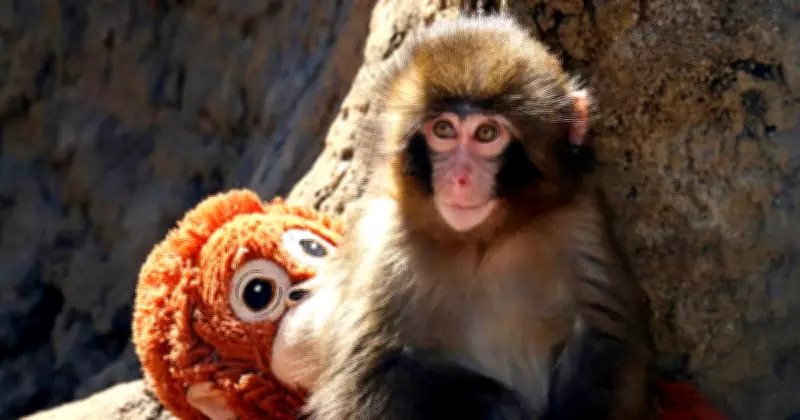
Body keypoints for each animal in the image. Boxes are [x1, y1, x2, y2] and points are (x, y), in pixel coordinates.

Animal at [276, 11, 657, 420]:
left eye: (487, 133)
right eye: (443, 129)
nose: (459, 178)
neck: (482, 240)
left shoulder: (579, 223)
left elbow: (603, 341)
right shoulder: (383, 243)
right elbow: (368, 376)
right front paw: (496, 404)